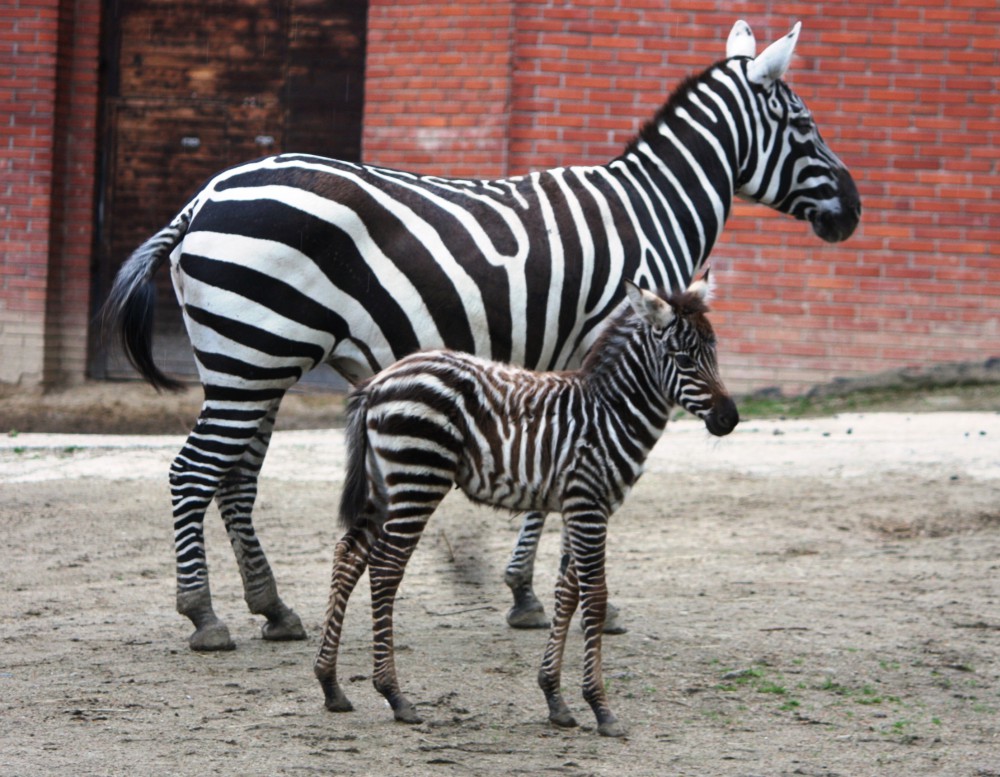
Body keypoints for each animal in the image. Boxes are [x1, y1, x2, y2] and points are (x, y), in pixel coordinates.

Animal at [101, 20, 860, 651]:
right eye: (804, 124)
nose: (853, 210)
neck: (651, 211)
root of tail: (205, 196)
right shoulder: (611, 344)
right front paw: (560, 598)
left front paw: (525, 593)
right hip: (250, 359)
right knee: (193, 472)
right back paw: (204, 615)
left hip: (252, 362)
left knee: (233, 479)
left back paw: (274, 608)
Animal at [314, 275, 736, 737]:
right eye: (683, 358)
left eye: (714, 352)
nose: (730, 419)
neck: (610, 414)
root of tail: (377, 382)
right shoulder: (588, 506)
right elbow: (595, 595)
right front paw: (602, 708)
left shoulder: (582, 507)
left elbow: (567, 593)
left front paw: (555, 697)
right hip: (417, 478)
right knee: (386, 569)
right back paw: (394, 694)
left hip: (384, 484)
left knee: (348, 555)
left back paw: (331, 685)